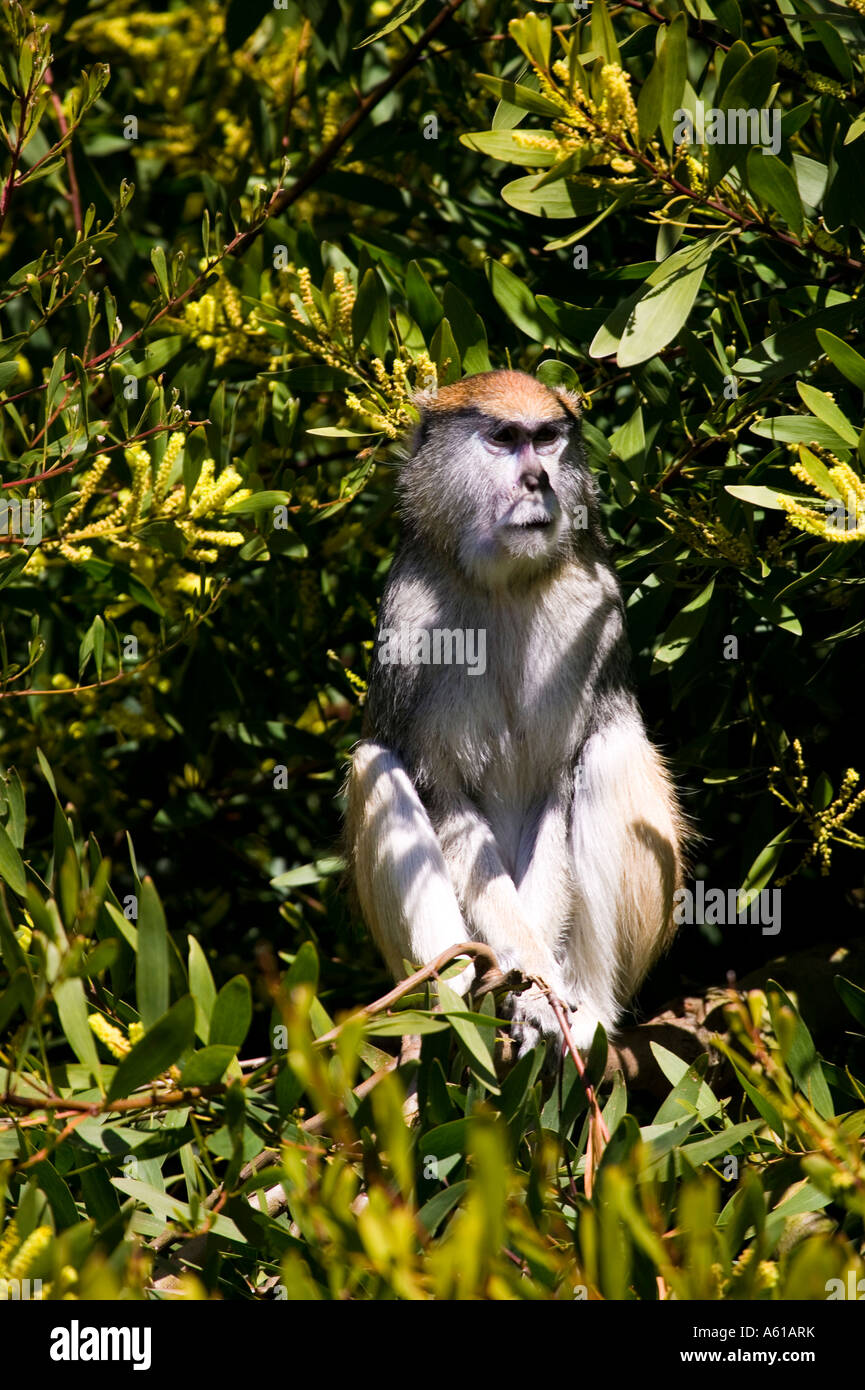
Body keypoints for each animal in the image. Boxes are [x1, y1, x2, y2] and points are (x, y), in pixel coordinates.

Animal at [344, 369, 683, 1057]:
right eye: (504, 439)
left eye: (548, 438)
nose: (538, 479)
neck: (503, 584)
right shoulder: (409, 624)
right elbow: (439, 791)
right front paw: (527, 980)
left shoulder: (595, 611)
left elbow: (559, 782)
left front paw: (544, 996)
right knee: (374, 763)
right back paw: (448, 1006)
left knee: (610, 746)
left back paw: (586, 1013)